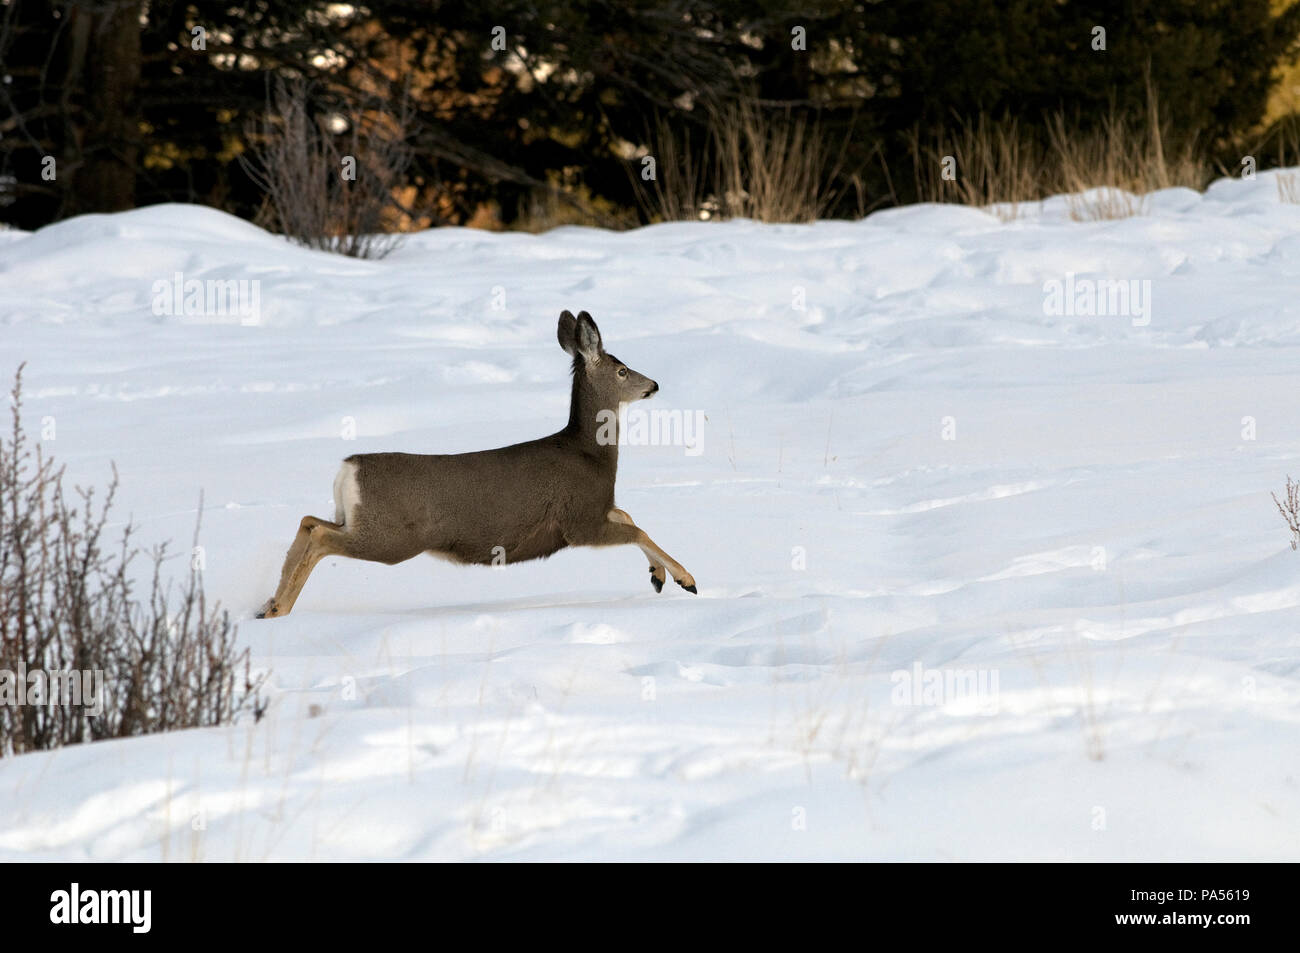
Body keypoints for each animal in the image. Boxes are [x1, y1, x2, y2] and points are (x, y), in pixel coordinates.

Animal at [256, 310, 697, 618]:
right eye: (622, 370)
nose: (654, 385)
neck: (589, 454)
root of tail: (348, 468)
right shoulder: (578, 520)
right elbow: (636, 528)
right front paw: (685, 579)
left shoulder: (597, 510)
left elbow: (629, 515)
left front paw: (658, 576)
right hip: (391, 536)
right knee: (320, 536)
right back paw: (278, 608)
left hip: (355, 520)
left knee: (309, 521)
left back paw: (266, 606)